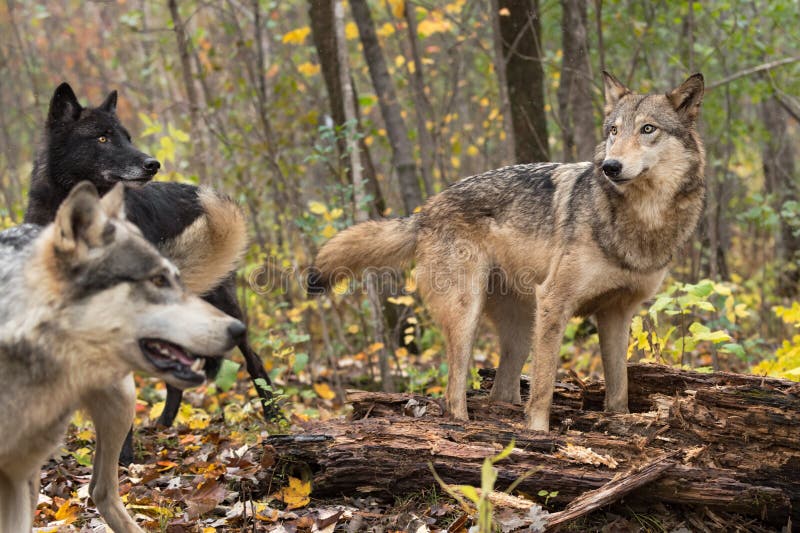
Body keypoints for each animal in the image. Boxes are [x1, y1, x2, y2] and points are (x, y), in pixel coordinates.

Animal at [0, 182, 245, 532]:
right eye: (158, 280)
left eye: (173, 279)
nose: (237, 329)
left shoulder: (20, 477)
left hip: (121, 405)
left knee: (100, 490)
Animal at [24, 83, 277, 461]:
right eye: (102, 138)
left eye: (127, 137)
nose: (152, 164)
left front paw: (123, 457)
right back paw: (164, 425)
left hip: (222, 305)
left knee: (254, 360)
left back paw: (275, 416)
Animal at [309, 72, 705, 431]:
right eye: (613, 131)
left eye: (648, 129)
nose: (610, 167)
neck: (643, 219)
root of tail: (425, 210)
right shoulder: (554, 301)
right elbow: (544, 386)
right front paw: (539, 435)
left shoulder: (618, 314)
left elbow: (619, 387)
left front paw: (621, 423)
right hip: (469, 313)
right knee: (453, 392)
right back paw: (466, 431)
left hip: (520, 328)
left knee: (501, 390)